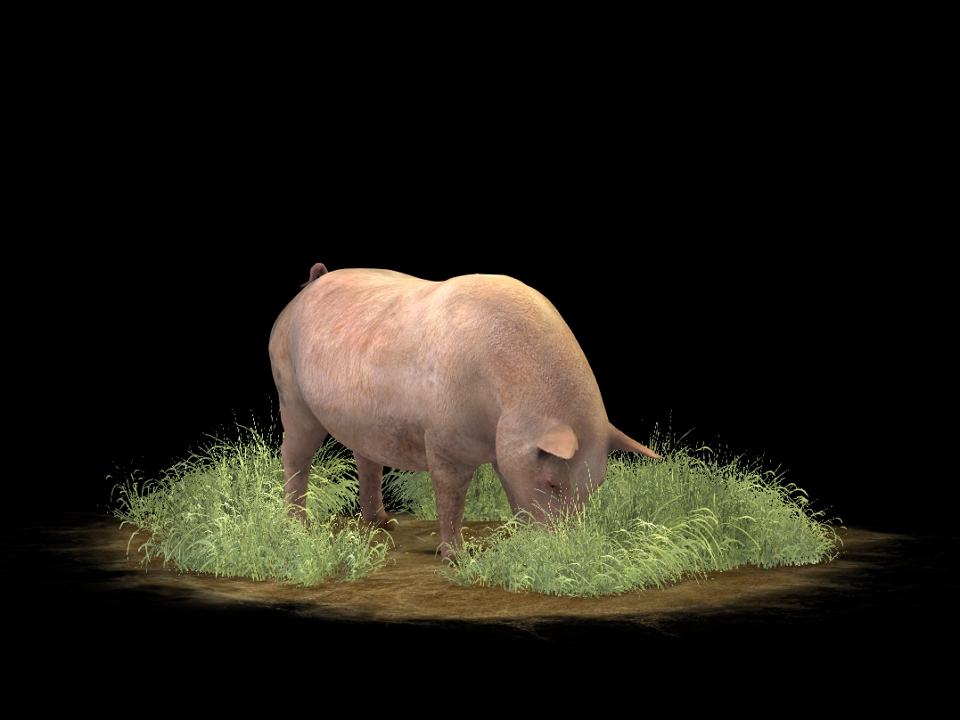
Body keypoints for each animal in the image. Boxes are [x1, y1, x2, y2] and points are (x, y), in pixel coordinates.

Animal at [268, 264, 661, 564]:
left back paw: (386, 525)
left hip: (364, 420)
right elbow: (451, 498)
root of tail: (314, 280)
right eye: (552, 484)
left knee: (366, 458)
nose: (563, 549)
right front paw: (457, 557)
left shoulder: (505, 448)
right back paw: (296, 527)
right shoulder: (444, 442)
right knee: (295, 455)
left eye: (595, 487)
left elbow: (512, 489)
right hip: (290, 391)